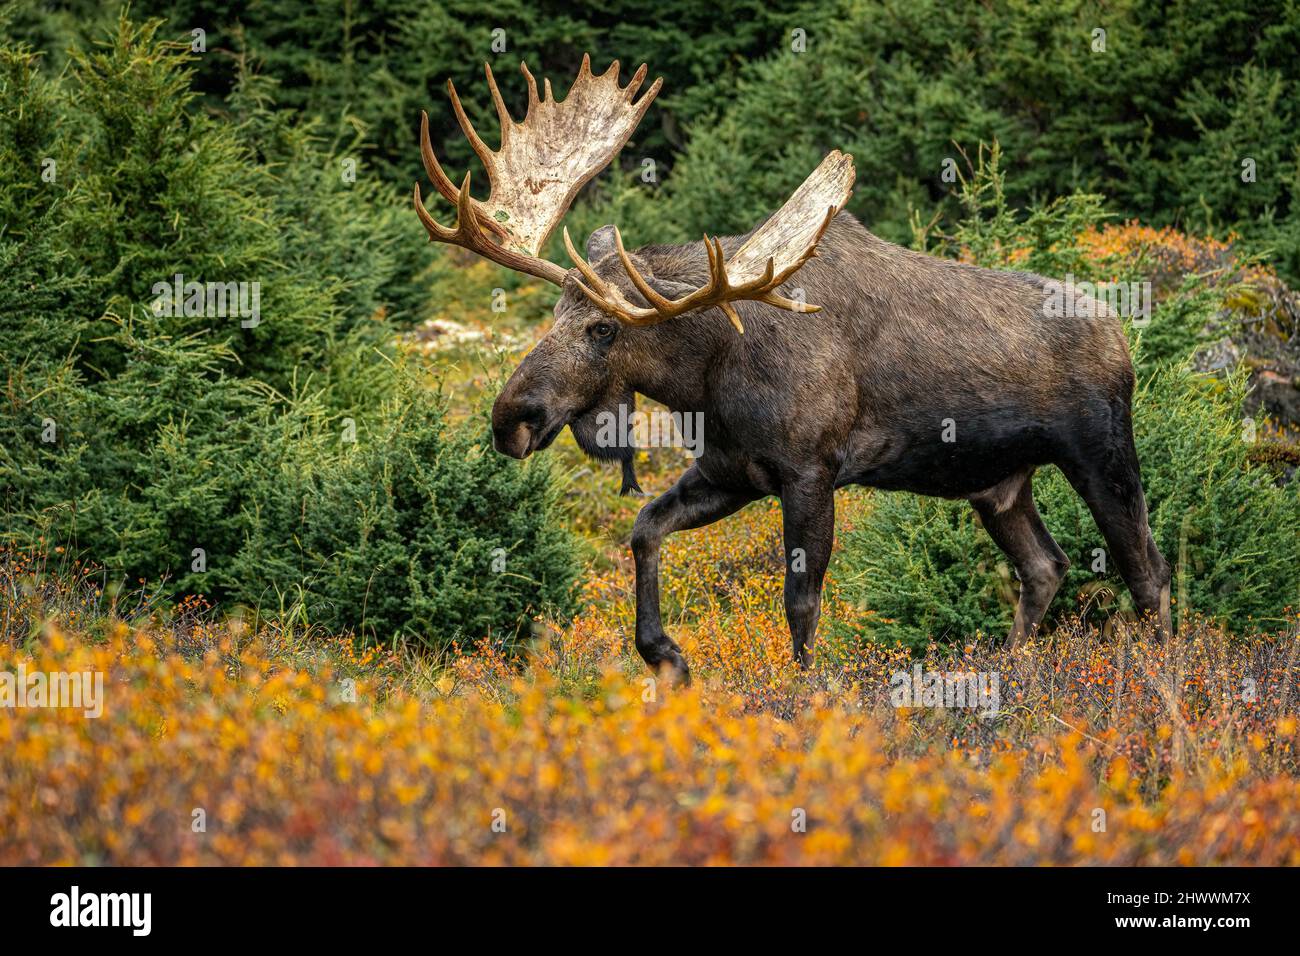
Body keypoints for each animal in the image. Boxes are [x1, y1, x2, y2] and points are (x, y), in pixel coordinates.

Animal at [413, 55, 1173, 684]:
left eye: (604, 328)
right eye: (552, 314)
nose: (510, 418)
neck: (706, 379)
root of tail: (1121, 331)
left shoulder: (811, 471)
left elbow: (800, 604)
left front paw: (804, 698)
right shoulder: (731, 472)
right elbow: (644, 529)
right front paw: (666, 654)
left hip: (1100, 448)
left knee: (1147, 570)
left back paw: (1164, 680)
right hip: (999, 484)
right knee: (1046, 567)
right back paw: (1012, 670)